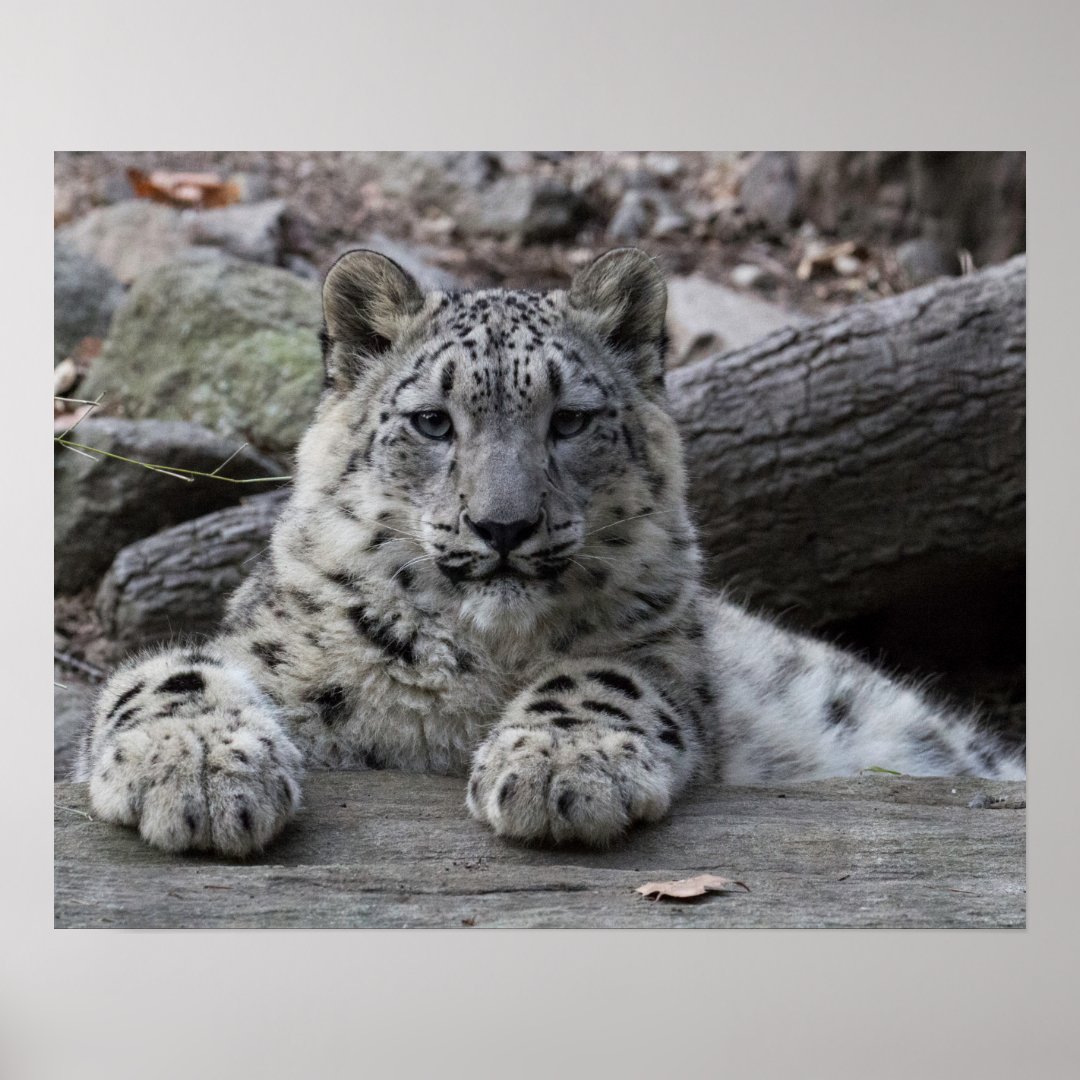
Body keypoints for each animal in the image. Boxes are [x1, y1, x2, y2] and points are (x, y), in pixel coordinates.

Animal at [76, 247, 1025, 857]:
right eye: (432, 420)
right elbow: (167, 672)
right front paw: (198, 774)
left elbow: (607, 674)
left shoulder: (669, 655)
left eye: (569, 420)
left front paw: (561, 767)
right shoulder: (263, 648)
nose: (504, 526)